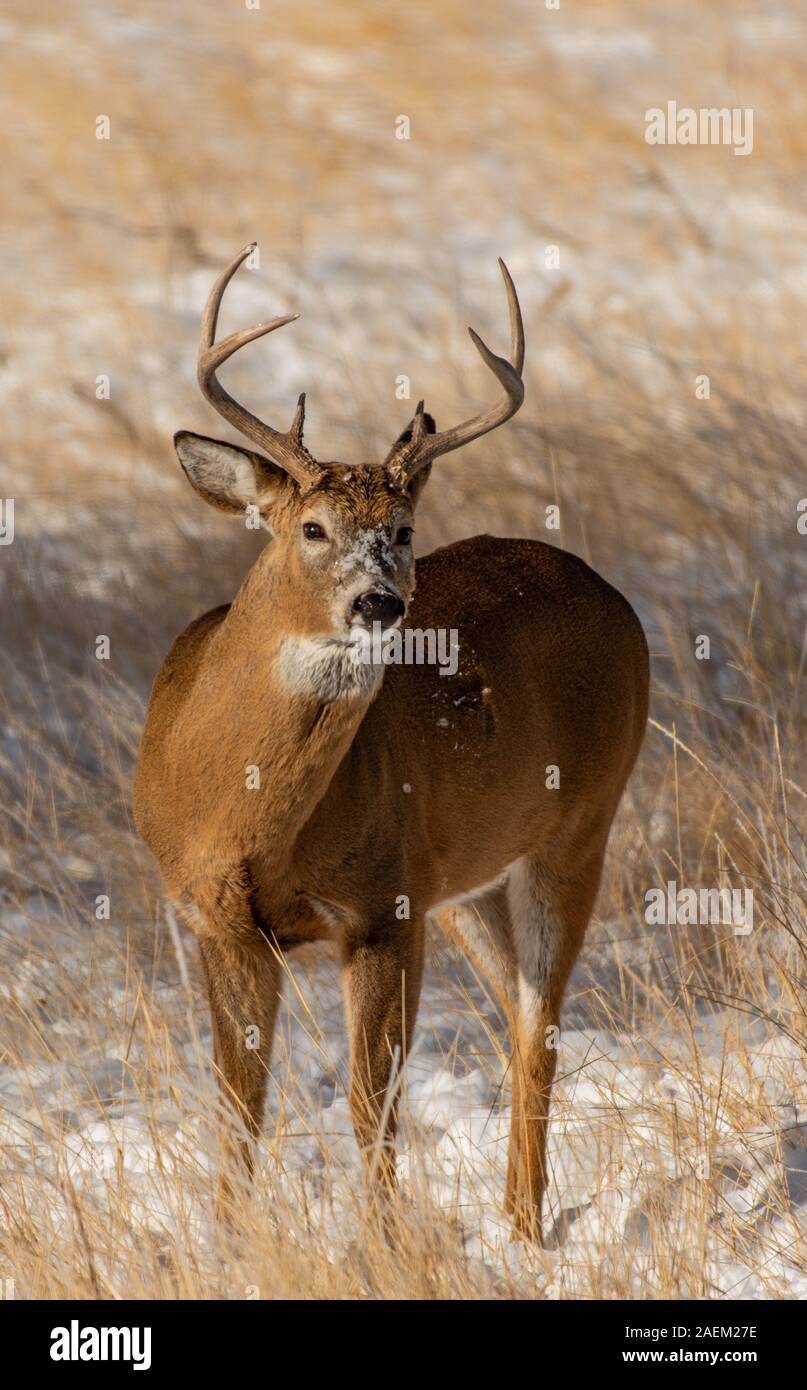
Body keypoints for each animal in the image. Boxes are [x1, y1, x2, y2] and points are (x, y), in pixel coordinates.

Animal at [133, 243, 649, 1243]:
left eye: (403, 531)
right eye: (311, 526)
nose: (380, 602)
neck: (239, 808)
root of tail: (603, 587)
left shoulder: (379, 907)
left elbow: (371, 1106)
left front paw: (377, 1247)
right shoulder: (217, 917)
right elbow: (237, 1105)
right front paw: (228, 1244)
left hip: (578, 826)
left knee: (540, 1024)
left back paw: (524, 1232)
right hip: (468, 880)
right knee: (517, 1015)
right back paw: (514, 1222)